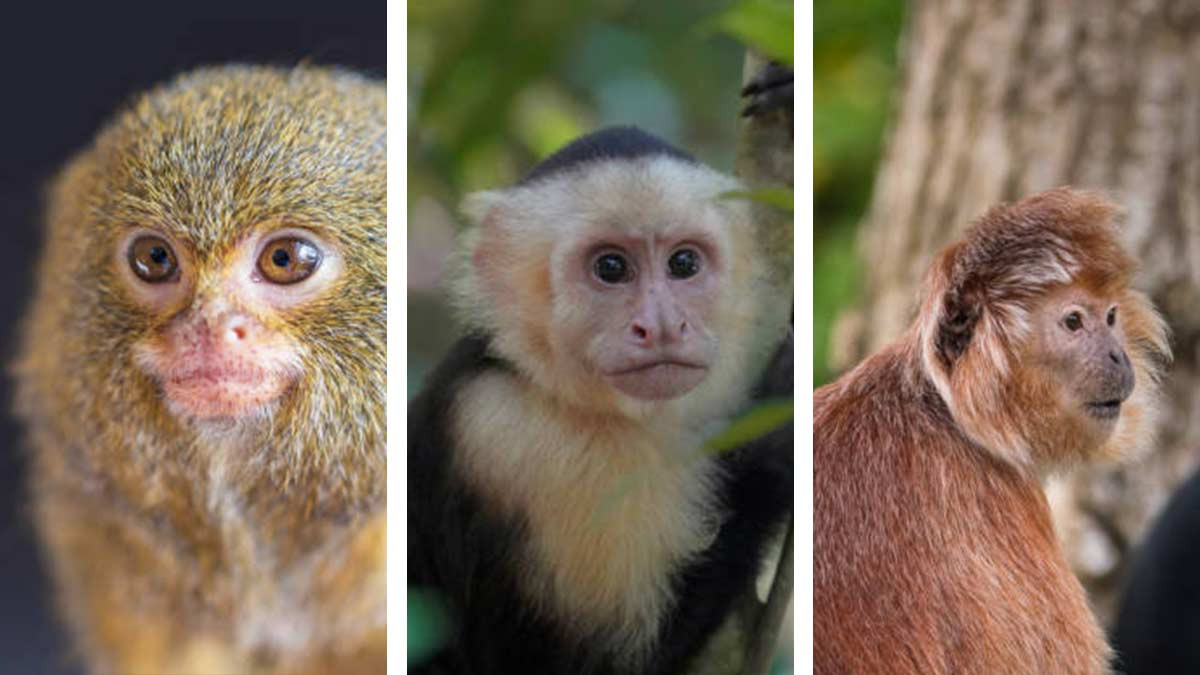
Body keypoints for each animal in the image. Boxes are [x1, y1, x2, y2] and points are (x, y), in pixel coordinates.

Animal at [407, 123, 794, 675]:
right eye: (610, 268)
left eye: (683, 263)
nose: (662, 327)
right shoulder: (519, 444)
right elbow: (584, 664)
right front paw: (775, 438)